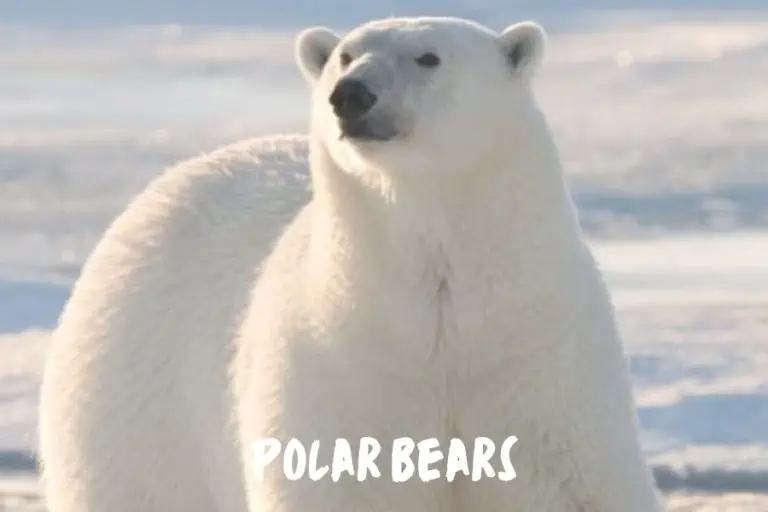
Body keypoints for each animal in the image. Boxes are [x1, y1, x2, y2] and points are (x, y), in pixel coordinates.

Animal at [233, 16, 662, 512]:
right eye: (344, 55)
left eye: (428, 57)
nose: (350, 94)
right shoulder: (332, 377)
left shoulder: (545, 369)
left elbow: (582, 483)